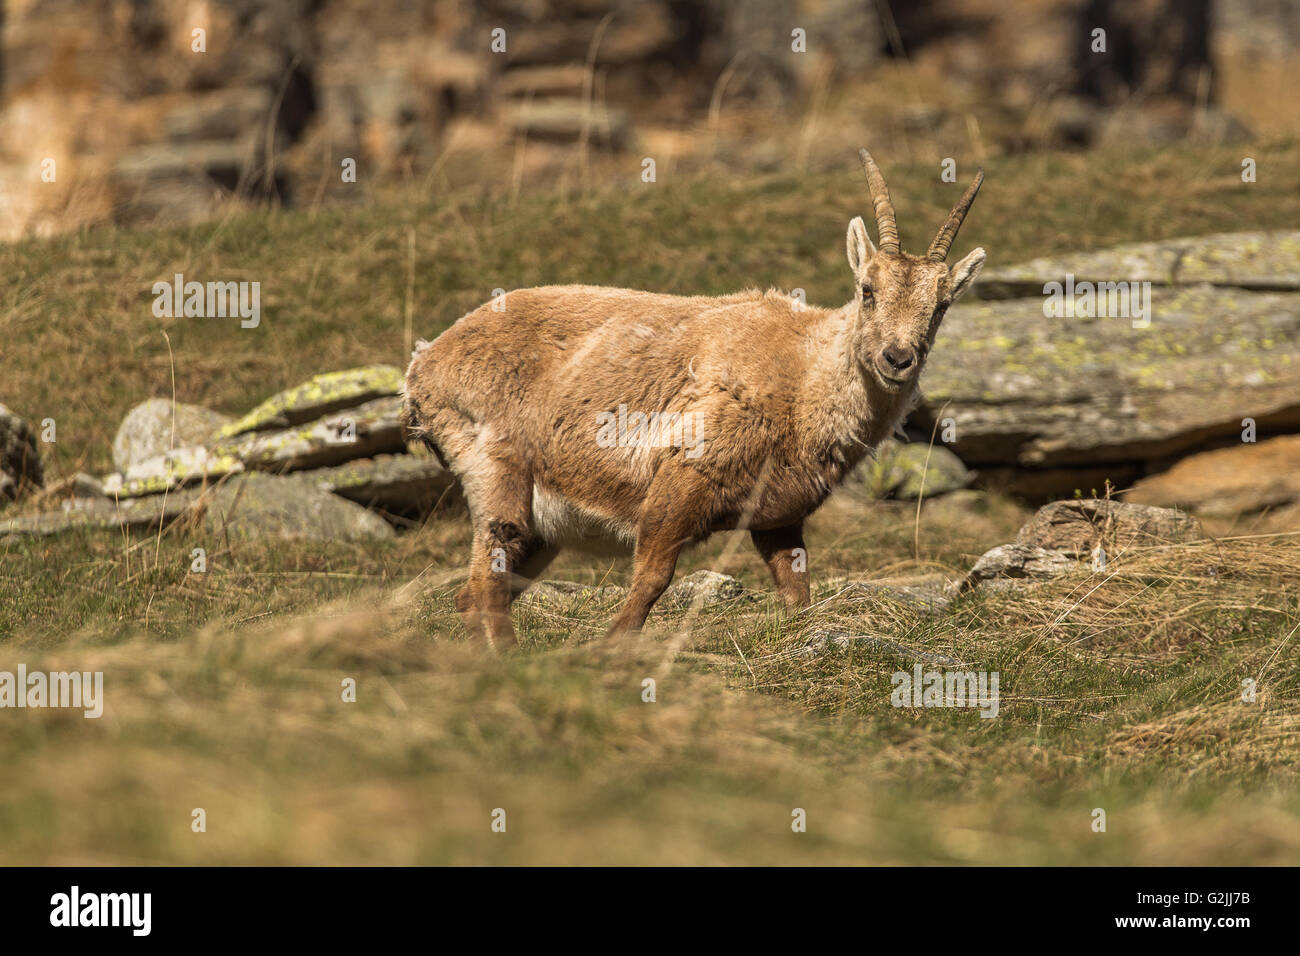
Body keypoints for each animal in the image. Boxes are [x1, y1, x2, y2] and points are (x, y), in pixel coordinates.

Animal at [403, 150, 986, 648]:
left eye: (941, 305)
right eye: (868, 289)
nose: (897, 358)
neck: (803, 378)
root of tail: (424, 365)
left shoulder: (777, 518)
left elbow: (797, 592)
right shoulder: (682, 478)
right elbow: (652, 578)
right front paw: (611, 648)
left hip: (543, 528)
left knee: (474, 594)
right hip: (495, 468)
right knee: (485, 588)